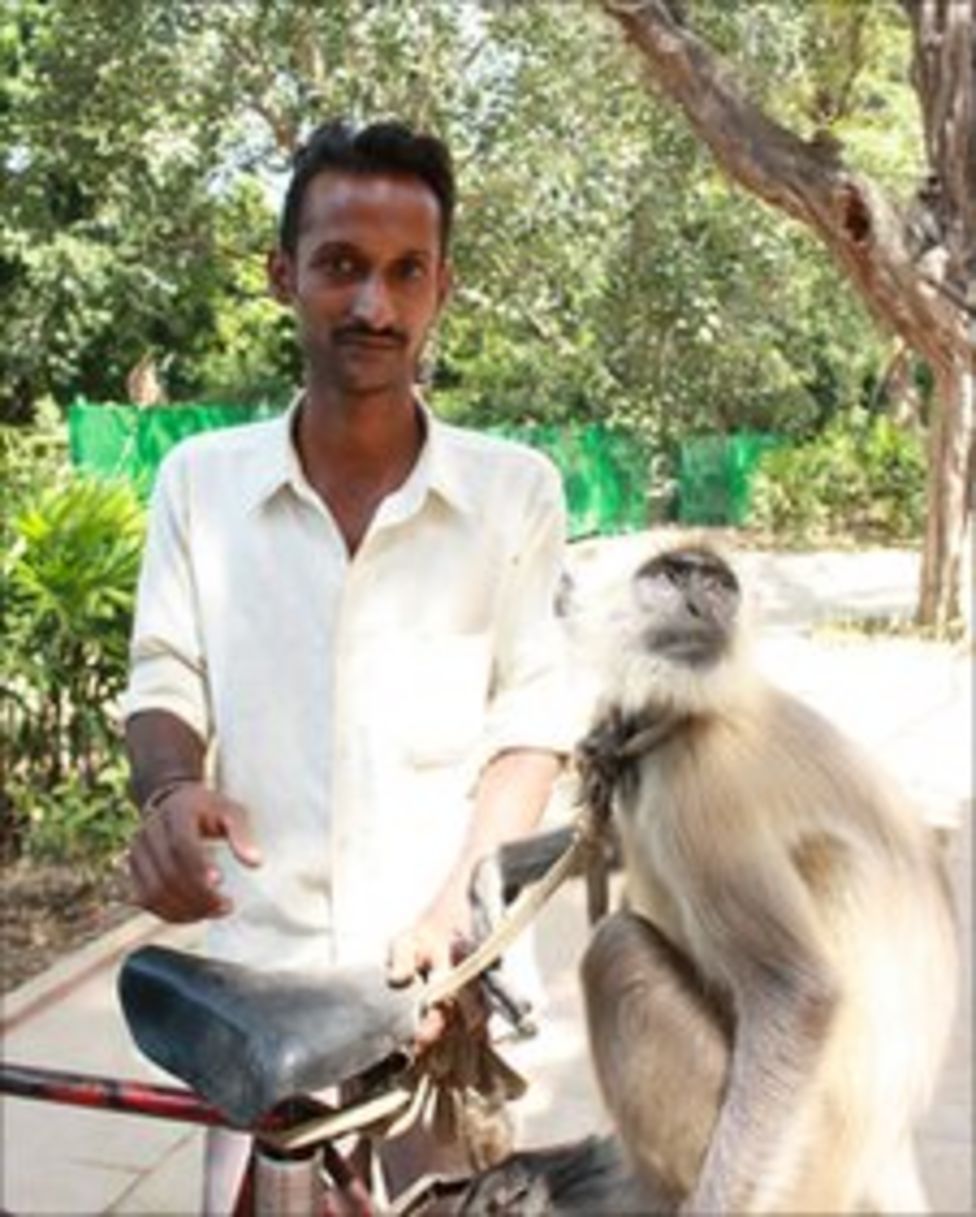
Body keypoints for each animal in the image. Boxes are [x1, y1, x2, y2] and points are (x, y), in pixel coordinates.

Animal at [571, 535, 959, 1215]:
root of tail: (886, 1151)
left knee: (616, 949)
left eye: (718, 586)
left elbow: (798, 993)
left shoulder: (704, 780)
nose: (702, 607)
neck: (679, 719)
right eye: (670, 576)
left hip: (805, 1160)